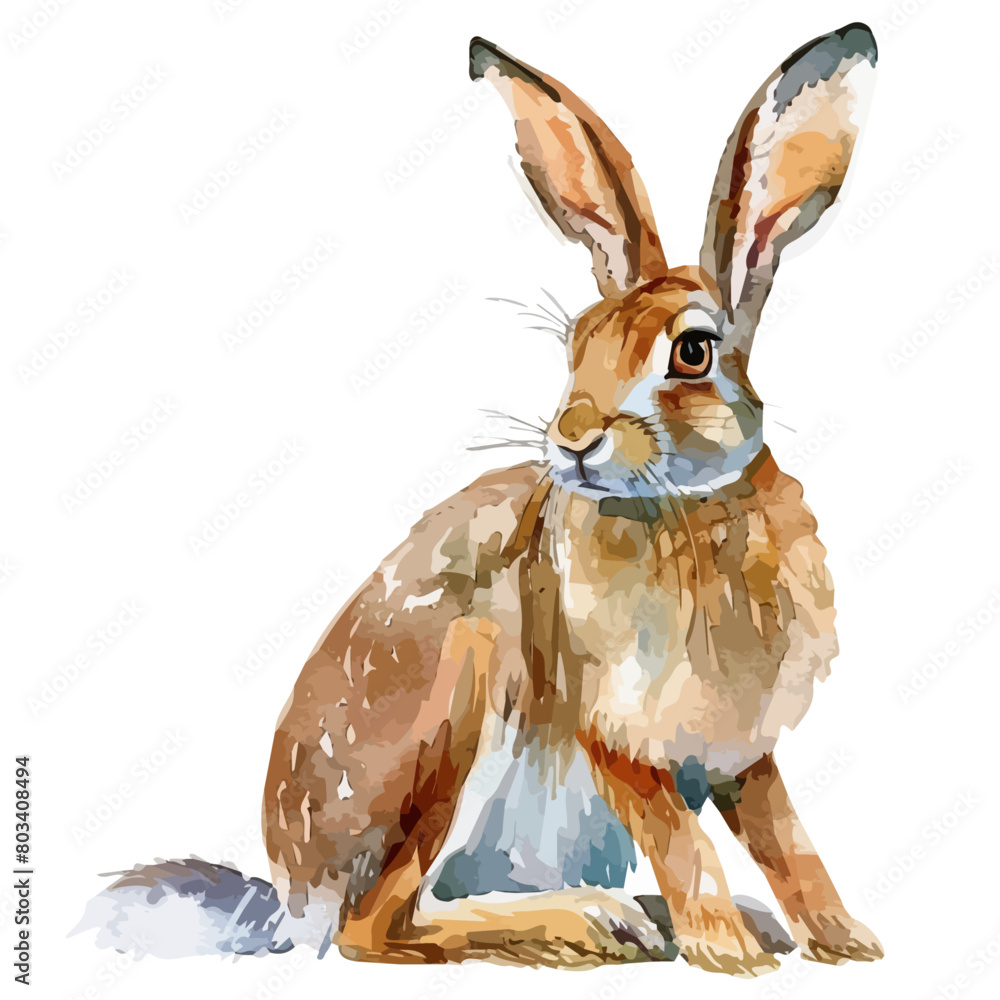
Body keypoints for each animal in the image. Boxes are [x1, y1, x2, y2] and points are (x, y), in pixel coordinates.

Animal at [79, 22, 882, 978]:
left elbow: (787, 840)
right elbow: (684, 844)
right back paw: (589, 923)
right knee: (375, 928)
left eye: (693, 352)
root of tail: (292, 899)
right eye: (577, 343)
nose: (571, 438)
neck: (686, 508)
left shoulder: (742, 753)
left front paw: (845, 941)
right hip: (463, 696)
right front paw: (730, 955)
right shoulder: (620, 738)